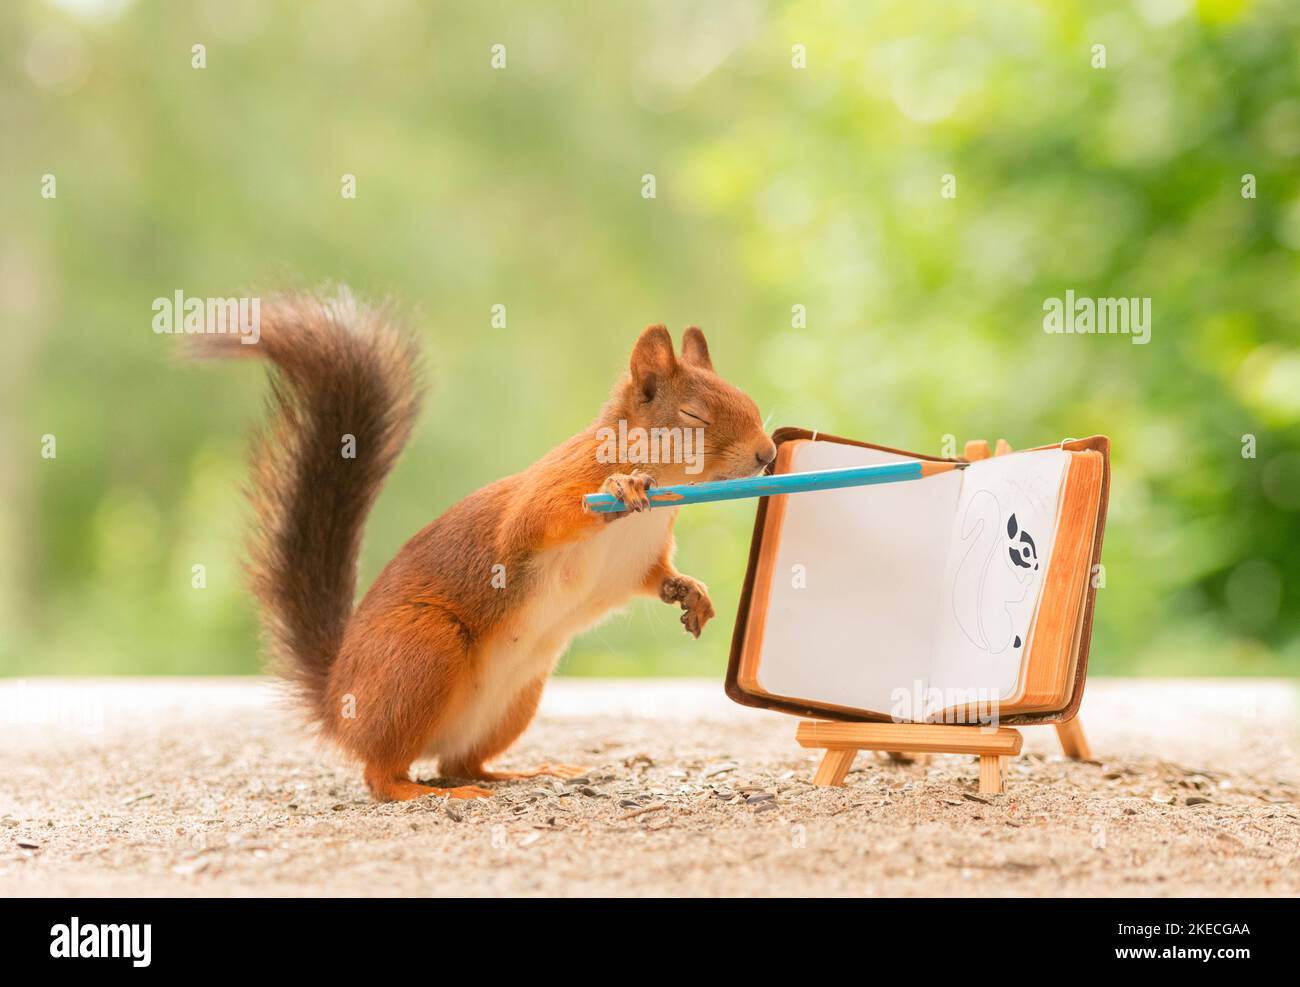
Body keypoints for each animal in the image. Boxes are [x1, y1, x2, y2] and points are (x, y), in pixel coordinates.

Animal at [194, 290, 776, 802]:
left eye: (749, 402)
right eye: (695, 417)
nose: (768, 454)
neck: (657, 496)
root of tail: (338, 705)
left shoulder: (640, 559)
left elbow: (656, 576)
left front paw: (690, 591)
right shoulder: (556, 485)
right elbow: (537, 519)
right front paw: (622, 486)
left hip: (518, 697)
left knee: (462, 761)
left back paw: (520, 773)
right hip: (422, 650)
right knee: (382, 771)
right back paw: (419, 791)